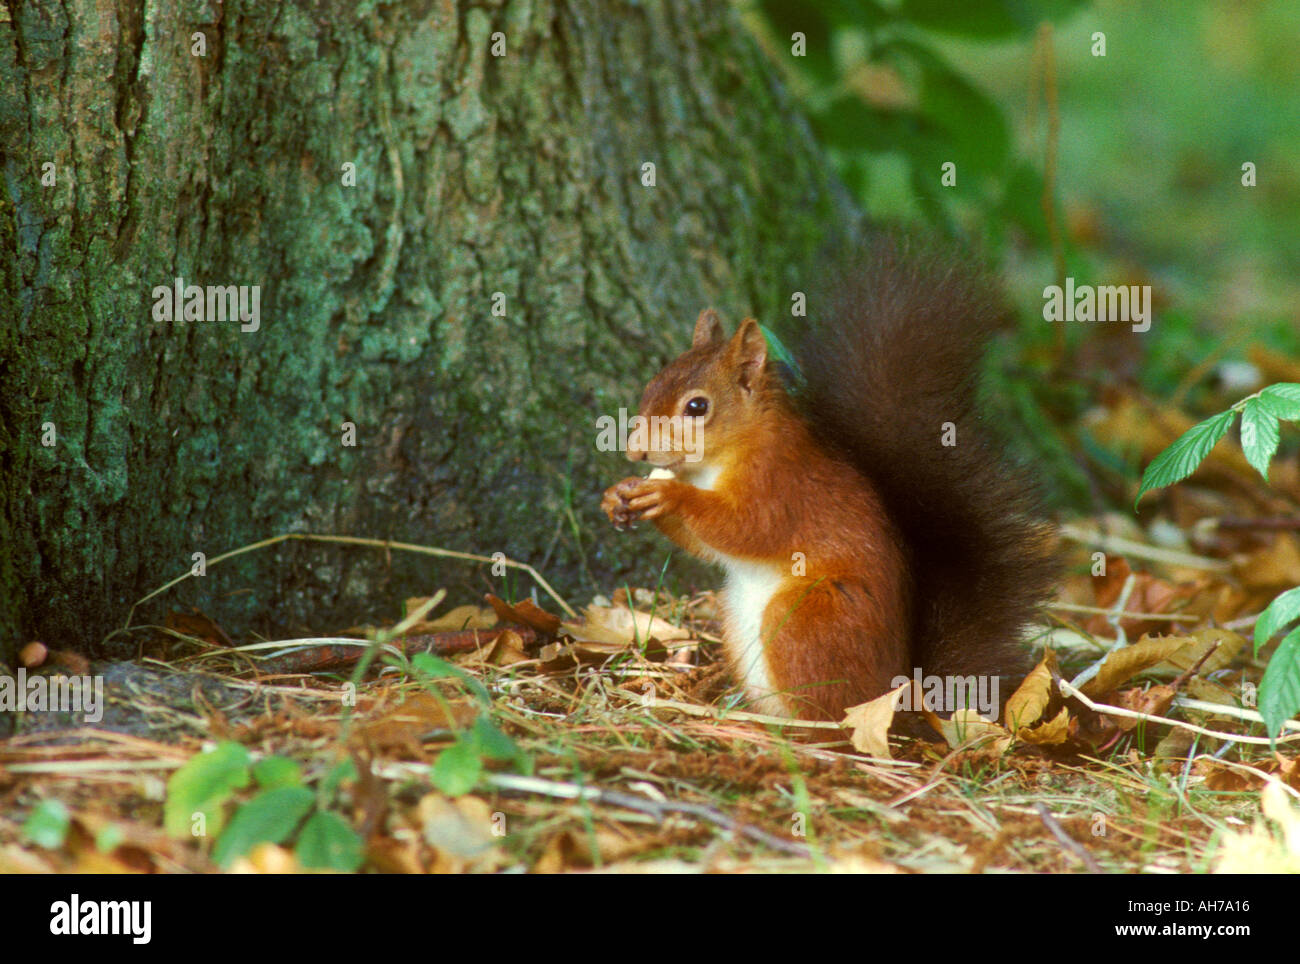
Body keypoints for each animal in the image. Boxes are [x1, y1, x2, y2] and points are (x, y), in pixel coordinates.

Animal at [601, 233, 1057, 722]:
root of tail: (897, 701)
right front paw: (618, 496)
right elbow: (705, 545)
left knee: (829, 714)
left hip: (807, 619)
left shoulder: (780, 482)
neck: (717, 461)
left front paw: (667, 494)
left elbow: (747, 528)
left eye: (697, 407)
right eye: (652, 383)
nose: (634, 450)